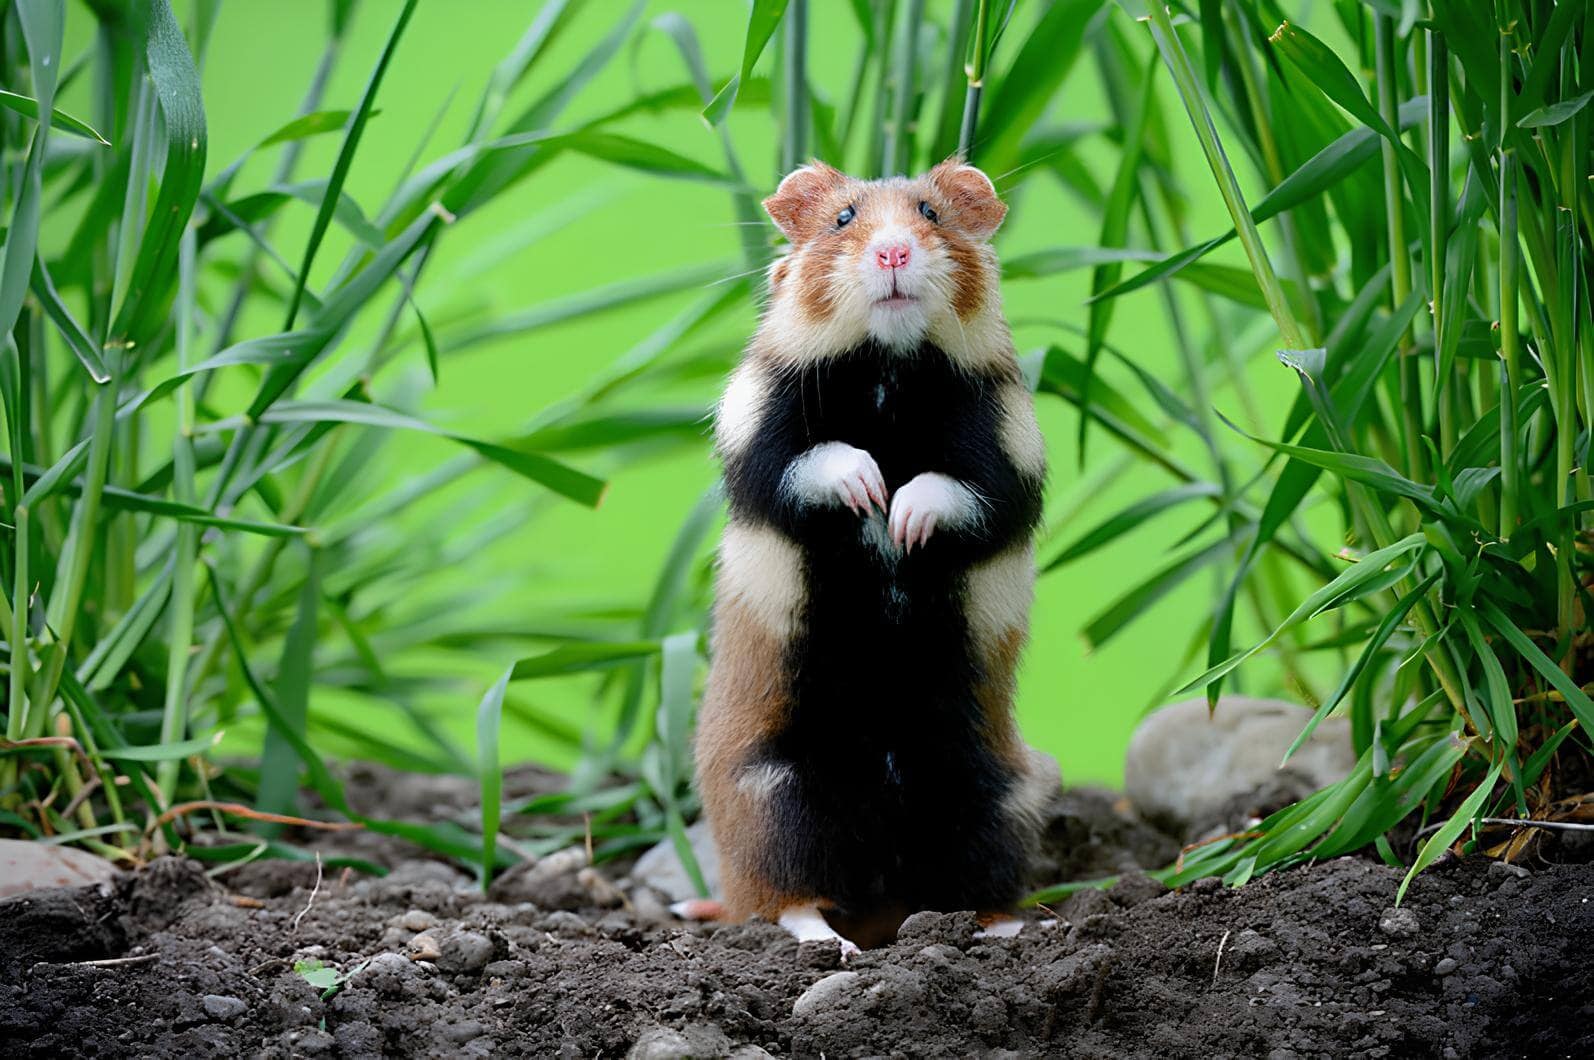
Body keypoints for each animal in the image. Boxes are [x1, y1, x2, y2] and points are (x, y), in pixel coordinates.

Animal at [695, 158, 1051, 956]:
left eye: (931, 213)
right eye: (842, 220)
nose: (893, 253)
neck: (887, 365)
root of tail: (882, 901)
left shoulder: (1008, 453)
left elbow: (957, 490)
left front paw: (904, 520)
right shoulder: (758, 435)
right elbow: (818, 460)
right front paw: (871, 494)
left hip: (992, 798)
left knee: (978, 885)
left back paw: (1010, 930)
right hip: (776, 796)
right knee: (783, 895)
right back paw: (829, 942)